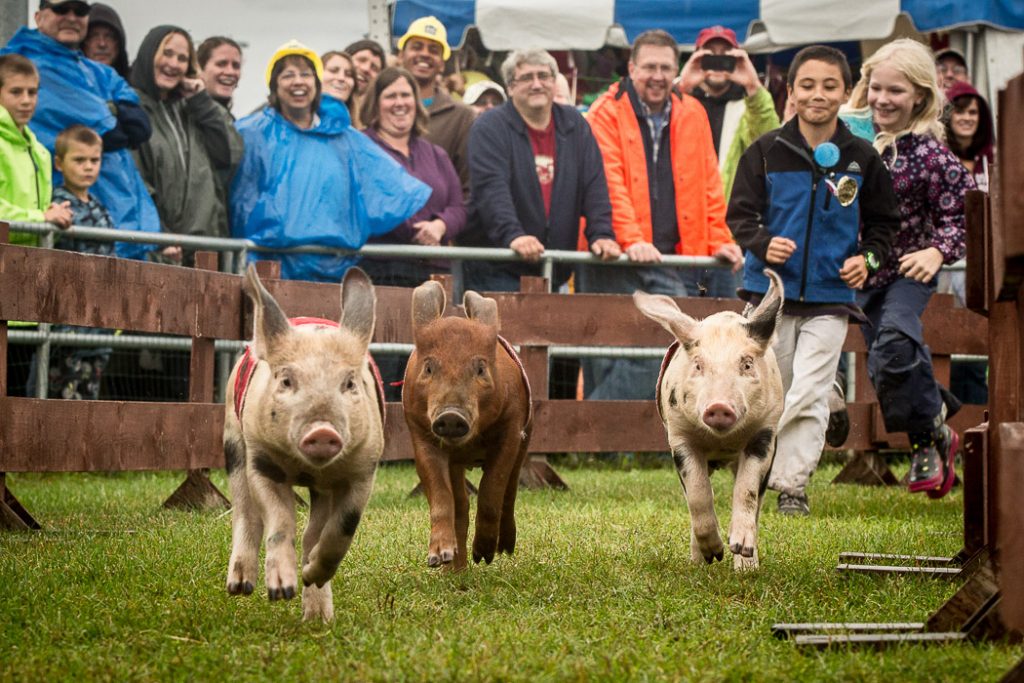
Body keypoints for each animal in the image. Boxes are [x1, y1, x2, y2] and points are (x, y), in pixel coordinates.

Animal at [222, 265, 384, 621]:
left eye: (349, 383)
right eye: (286, 380)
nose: (322, 430)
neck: (308, 469)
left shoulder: (363, 470)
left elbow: (342, 529)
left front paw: (310, 574)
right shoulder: (261, 462)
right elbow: (280, 520)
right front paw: (280, 591)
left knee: (313, 533)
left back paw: (318, 616)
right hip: (232, 440)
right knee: (244, 512)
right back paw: (240, 587)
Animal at [403, 281, 532, 571]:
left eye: (480, 369)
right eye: (428, 368)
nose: (451, 415)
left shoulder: (512, 429)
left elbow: (492, 488)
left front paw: (484, 556)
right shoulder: (420, 433)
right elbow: (441, 497)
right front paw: (436, 559)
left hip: (526, 440)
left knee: (510, 491)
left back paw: (503, 550)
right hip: (455, 463)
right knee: (461, 505)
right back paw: (454, 568)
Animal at [633, 269, 784, 570]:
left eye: (747, 364)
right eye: (698, 365)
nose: (718, 406)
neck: (722, 441)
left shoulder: (765, 432)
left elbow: (746, 491)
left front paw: (740, 552)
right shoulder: (679, 436)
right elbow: (698, 493)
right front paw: (713, 554)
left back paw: (746, 565)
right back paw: (702, 562)